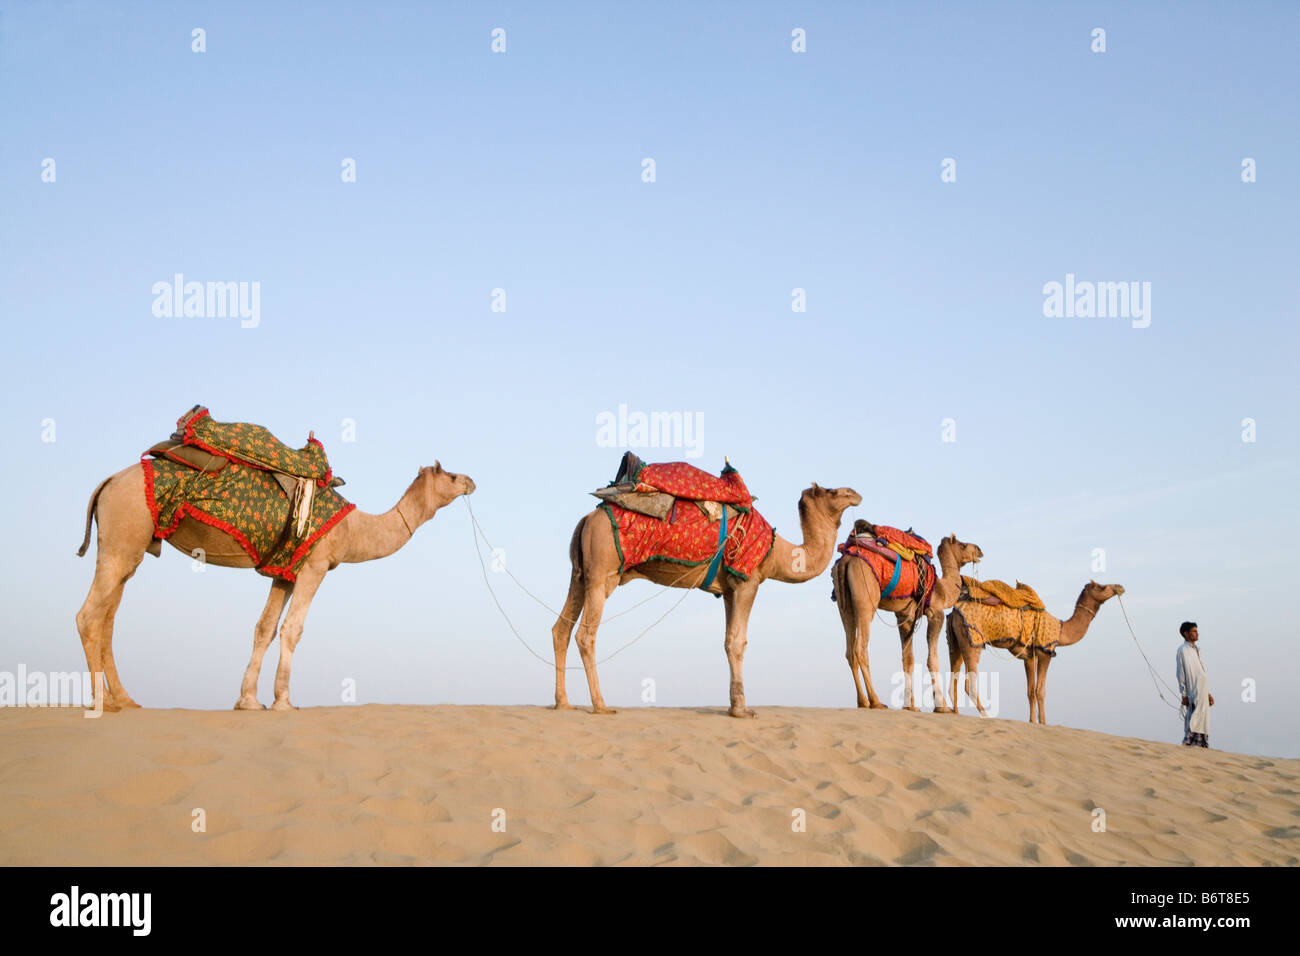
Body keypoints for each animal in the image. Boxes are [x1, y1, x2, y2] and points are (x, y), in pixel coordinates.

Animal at [75, 460, 475, 711]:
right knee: (89, 615)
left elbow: (264, 628)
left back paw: (124, 699)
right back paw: (101, 702)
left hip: (129, 543)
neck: (353, 529)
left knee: (108, 616)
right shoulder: (314, 565)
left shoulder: (284, 572)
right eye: (452, 475)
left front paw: (248, 700)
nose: (472, 481)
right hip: (125, 529)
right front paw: (284, 700)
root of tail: (106, 483)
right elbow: (292, 629)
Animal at [552, 482, 861, 717]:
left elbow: (727, 640)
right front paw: (742, 710)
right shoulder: (747, 582)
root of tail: (586, 520)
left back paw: (563, 703)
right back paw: (601, 705)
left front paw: (733, 706)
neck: (777, 553)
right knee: (585, 634)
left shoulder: (729, 590)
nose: (855, 493)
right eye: (832, 492)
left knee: (561, 629)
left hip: (580, 574)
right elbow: (738, 642)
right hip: (602, 572)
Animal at [831, 532, 984, 712]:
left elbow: (908, 660)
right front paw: (942, 707)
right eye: (963, 545)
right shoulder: (935, 613)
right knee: (860, 648)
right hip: (865, 599)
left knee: (849, 650)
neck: (943, 590)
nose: (979, 550)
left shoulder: (905, 617)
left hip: (844, 604)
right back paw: (875, 701)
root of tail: (846, 561)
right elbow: (932, 659)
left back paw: (862, 702)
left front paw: (911, 706)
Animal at [946, 580, 1125, 723]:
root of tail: (955, 610)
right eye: (1101, 587)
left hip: (956, 641)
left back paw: (955, 712)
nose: (1119, 587)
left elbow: (1030, 691)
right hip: (973, 641)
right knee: (969, 683)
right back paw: (986, 715)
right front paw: (1044, 722)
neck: (1061, 630)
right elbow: (1040, 691)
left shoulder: (1029, 657)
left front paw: (1032, 721)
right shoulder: (1045, 652)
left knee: (954, 674)